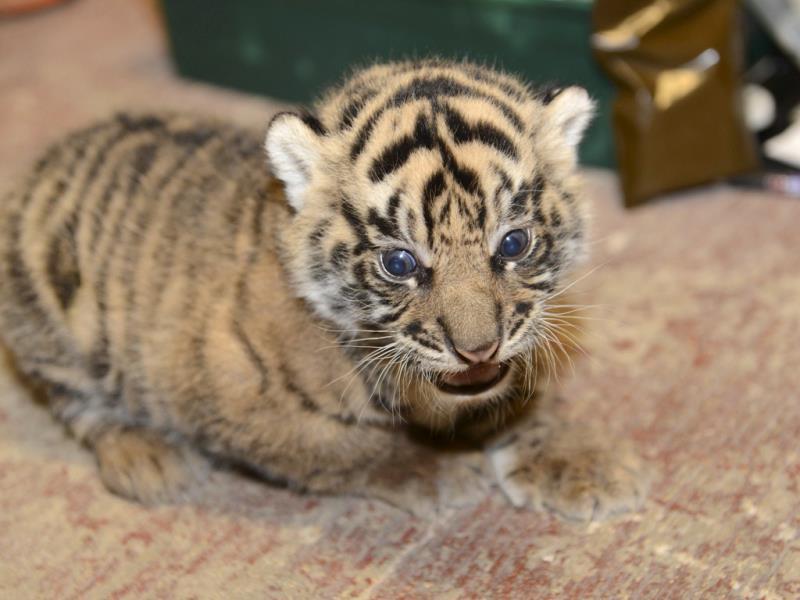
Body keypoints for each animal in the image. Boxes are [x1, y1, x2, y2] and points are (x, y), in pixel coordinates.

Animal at [0, 59, 647, 520]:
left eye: (513, 244)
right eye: (399, 262)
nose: (477, 349)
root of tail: (58, 152)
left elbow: (523, 396)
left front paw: (580, 464)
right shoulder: (236, 401)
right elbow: (345, 449)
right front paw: (438, 472)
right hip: (49, 323)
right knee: (80, 404)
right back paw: (150, 461)